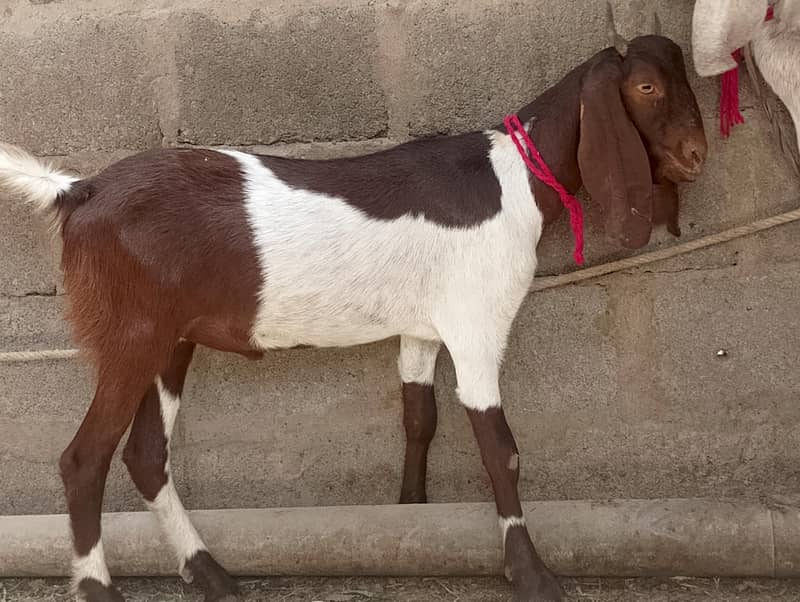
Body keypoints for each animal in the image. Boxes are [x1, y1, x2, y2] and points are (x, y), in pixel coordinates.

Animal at [0, 22, 706, 602]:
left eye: (687, 81)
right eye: (645, 86)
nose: (698, 155)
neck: (514, 178)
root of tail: (80, 191)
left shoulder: (422, 329)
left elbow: (419, 419)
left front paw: (411, 518)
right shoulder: (477, 323)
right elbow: (500, 447)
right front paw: (531, 575)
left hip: (170, 340)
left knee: (147, 456)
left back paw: (212, 574)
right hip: (131, 334)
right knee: (84, 458)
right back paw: (102, 588)